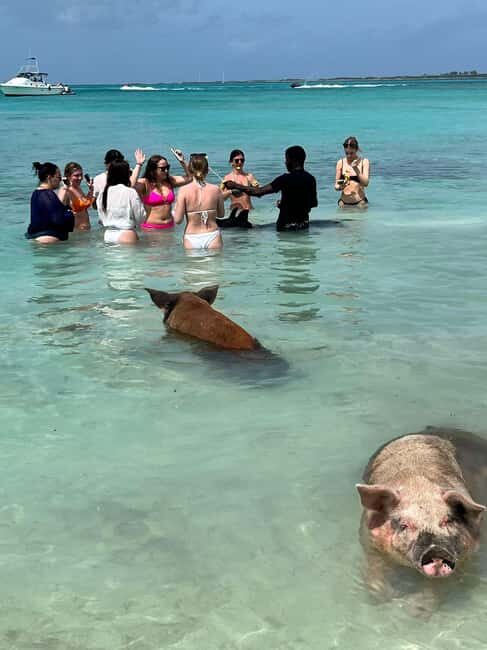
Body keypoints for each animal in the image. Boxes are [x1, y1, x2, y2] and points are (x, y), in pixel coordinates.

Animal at [356, 427, 487, 608]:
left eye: (447, 520)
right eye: (404, 525)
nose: (436, 550)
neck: (419, 486)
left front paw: (414, 609)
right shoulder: (369, 540)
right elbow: (374, 569)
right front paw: (384, 598)